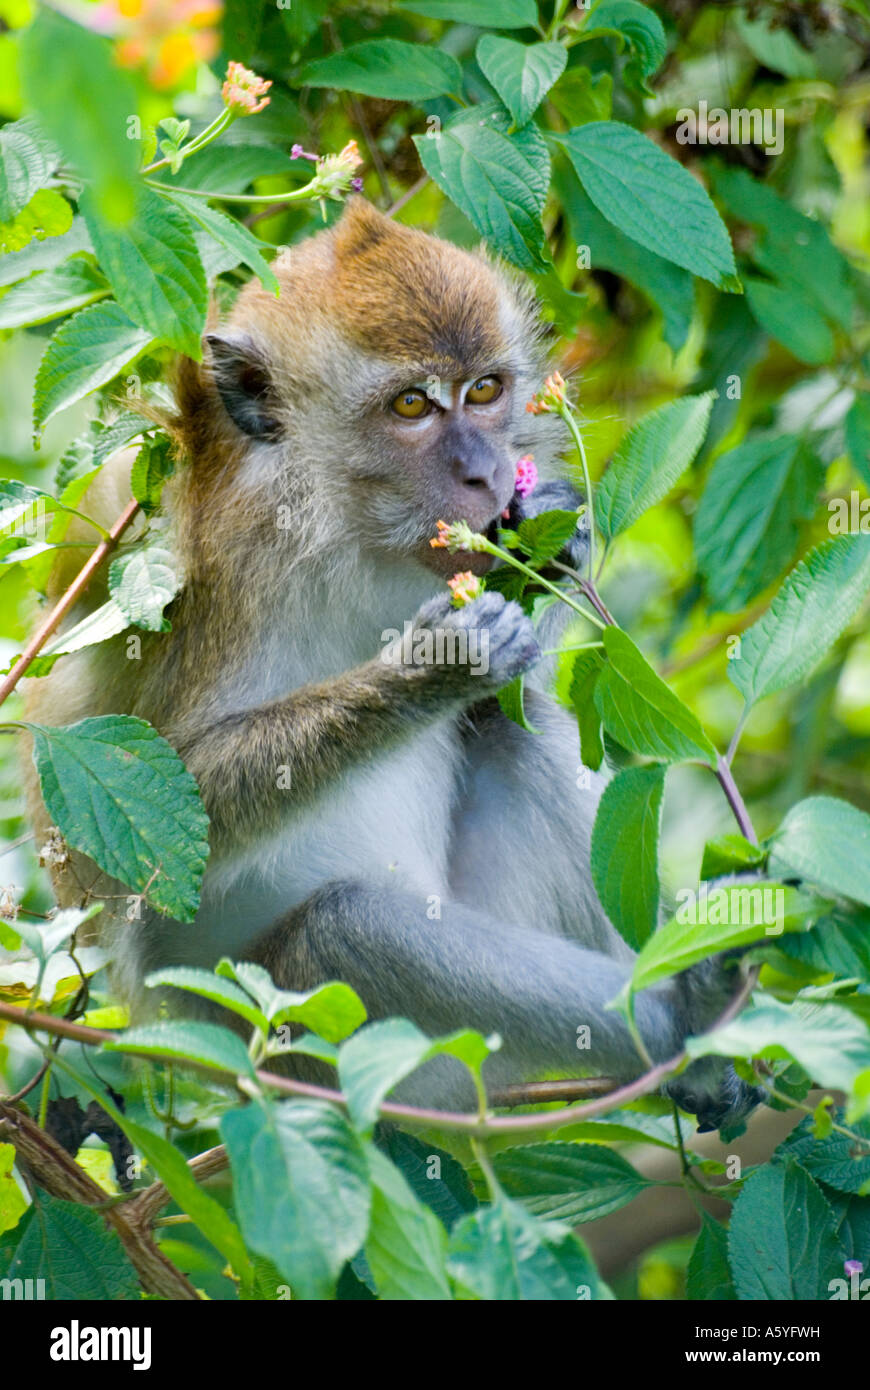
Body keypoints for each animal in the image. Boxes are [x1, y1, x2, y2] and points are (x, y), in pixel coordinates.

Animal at [23, 198, 762, 1131]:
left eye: (484, 391)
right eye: (412, 405)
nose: (485, 474)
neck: (335, 526)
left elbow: (514, 693)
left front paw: (550, 542)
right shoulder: (195, 576)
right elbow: (147, 825)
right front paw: (435, 666)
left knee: (511, 731)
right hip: (307, 1039)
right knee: (347, 929)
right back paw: (675, 1024)